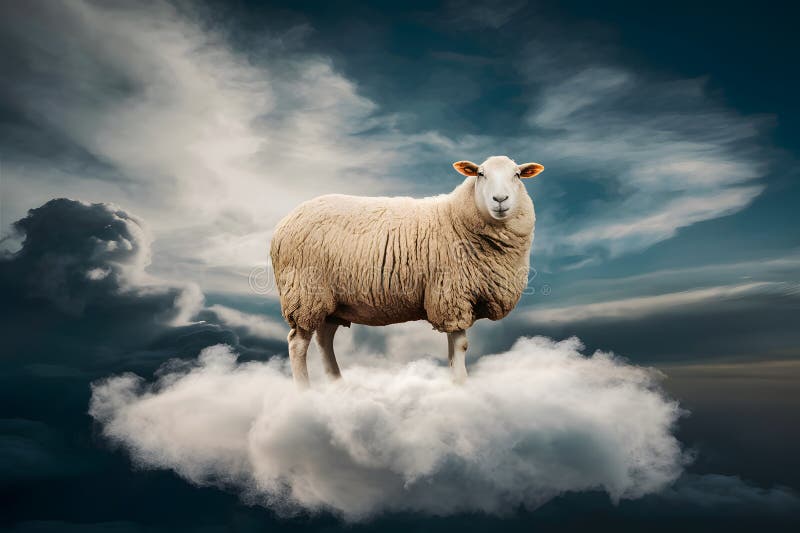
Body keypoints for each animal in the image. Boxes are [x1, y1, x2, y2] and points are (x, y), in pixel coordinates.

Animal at [270, 155, 544, 387]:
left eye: (517, 175)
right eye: (480, 174)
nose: (500, 200)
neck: (455, 218)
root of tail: (284, 223)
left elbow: (454, 349)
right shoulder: (450, 296)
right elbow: (461, 346)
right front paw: (461, 385)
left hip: (334, 301)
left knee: (324, 339)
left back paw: (337, 385)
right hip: (305, 292)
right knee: (297, 343)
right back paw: (305, 392)